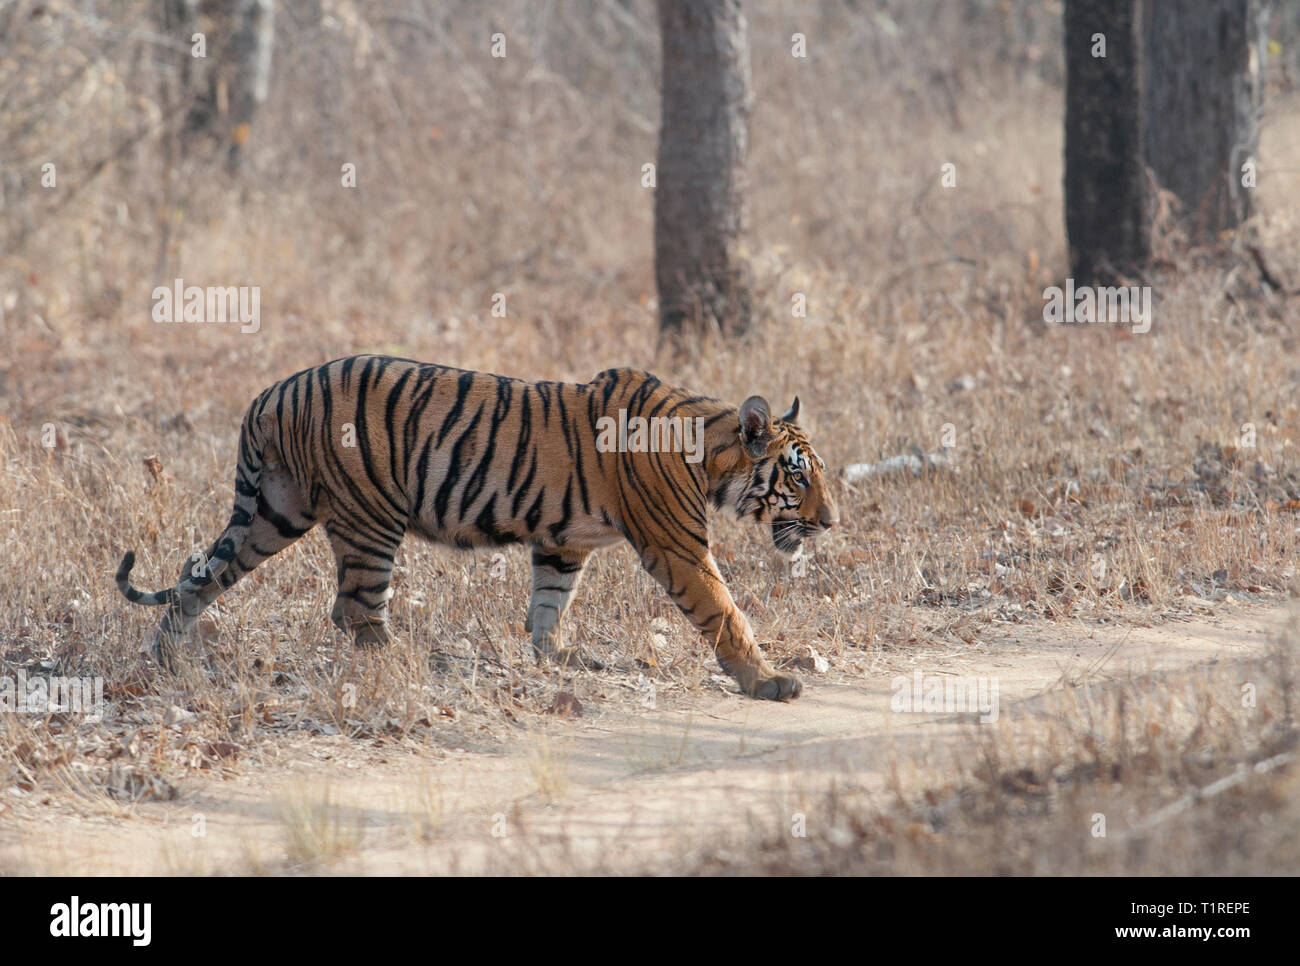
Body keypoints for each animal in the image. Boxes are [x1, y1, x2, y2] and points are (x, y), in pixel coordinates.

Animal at [115, 355, 839, 700]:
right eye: (799, 476)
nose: (832, 522)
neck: (708, 453)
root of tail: (271, 394)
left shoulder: (562, 543)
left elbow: (549, 604)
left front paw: (559, 657)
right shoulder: (678, 547)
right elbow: (725, 612)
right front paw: (769, 682)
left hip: (275, 511)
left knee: (197, 578)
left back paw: (165, 655)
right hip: (371, 516)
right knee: (354, 609)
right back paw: (405, 659)